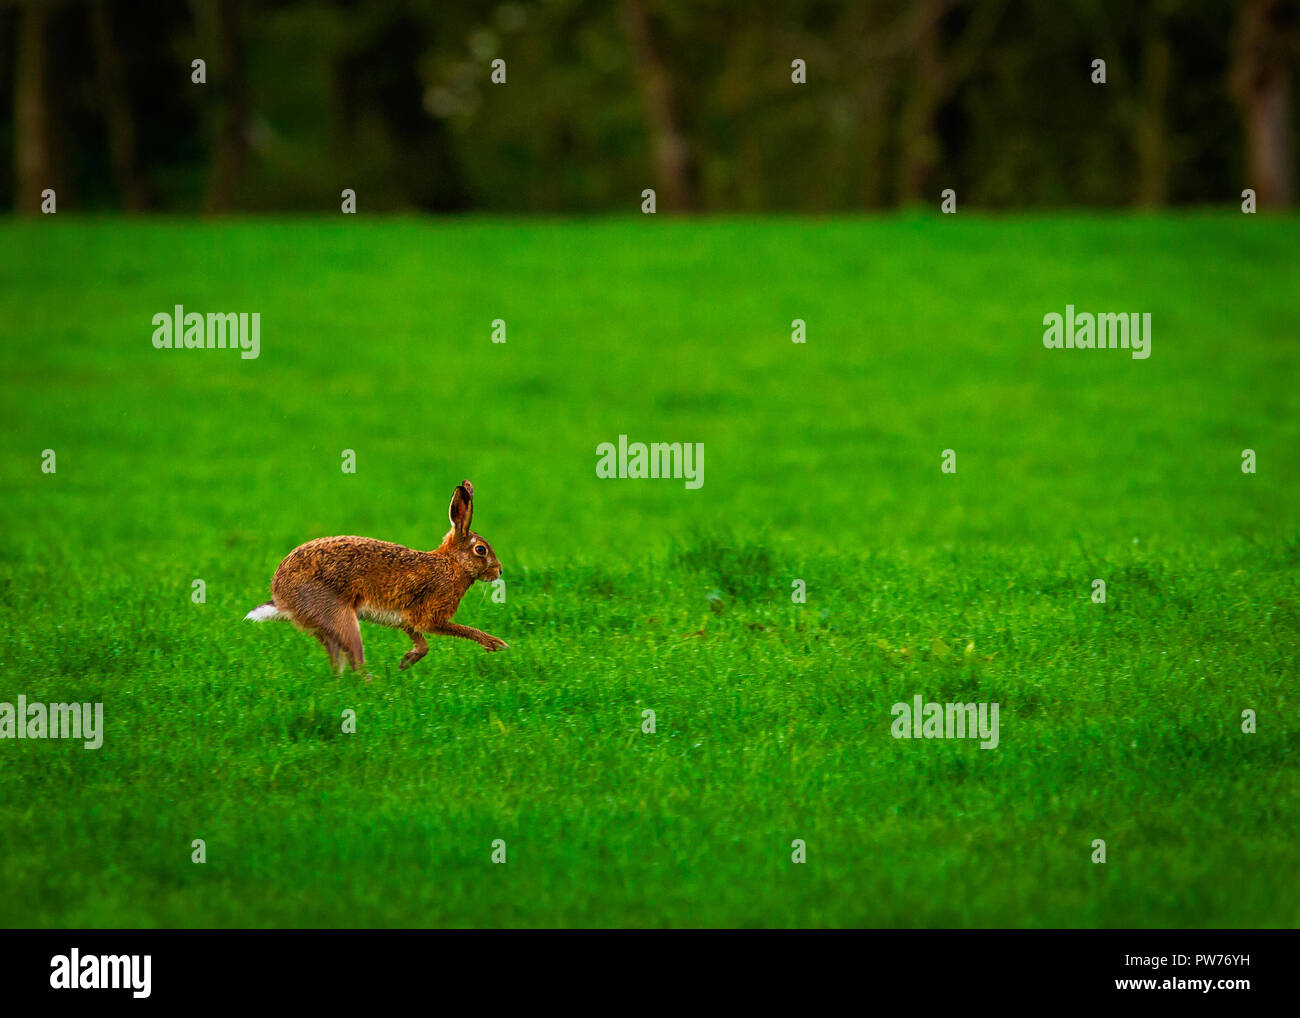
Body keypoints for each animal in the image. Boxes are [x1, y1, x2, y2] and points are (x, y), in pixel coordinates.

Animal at [245, 480, 507, 675]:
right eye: (481, 550)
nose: (499, 570)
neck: (452, 565)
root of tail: (281, 594)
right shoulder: (430, 615)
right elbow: (458, 629)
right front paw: (494, 643)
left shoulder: (406, 618)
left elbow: (422, 644)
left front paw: (406, 661)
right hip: (340, 617)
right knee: (354, 661)